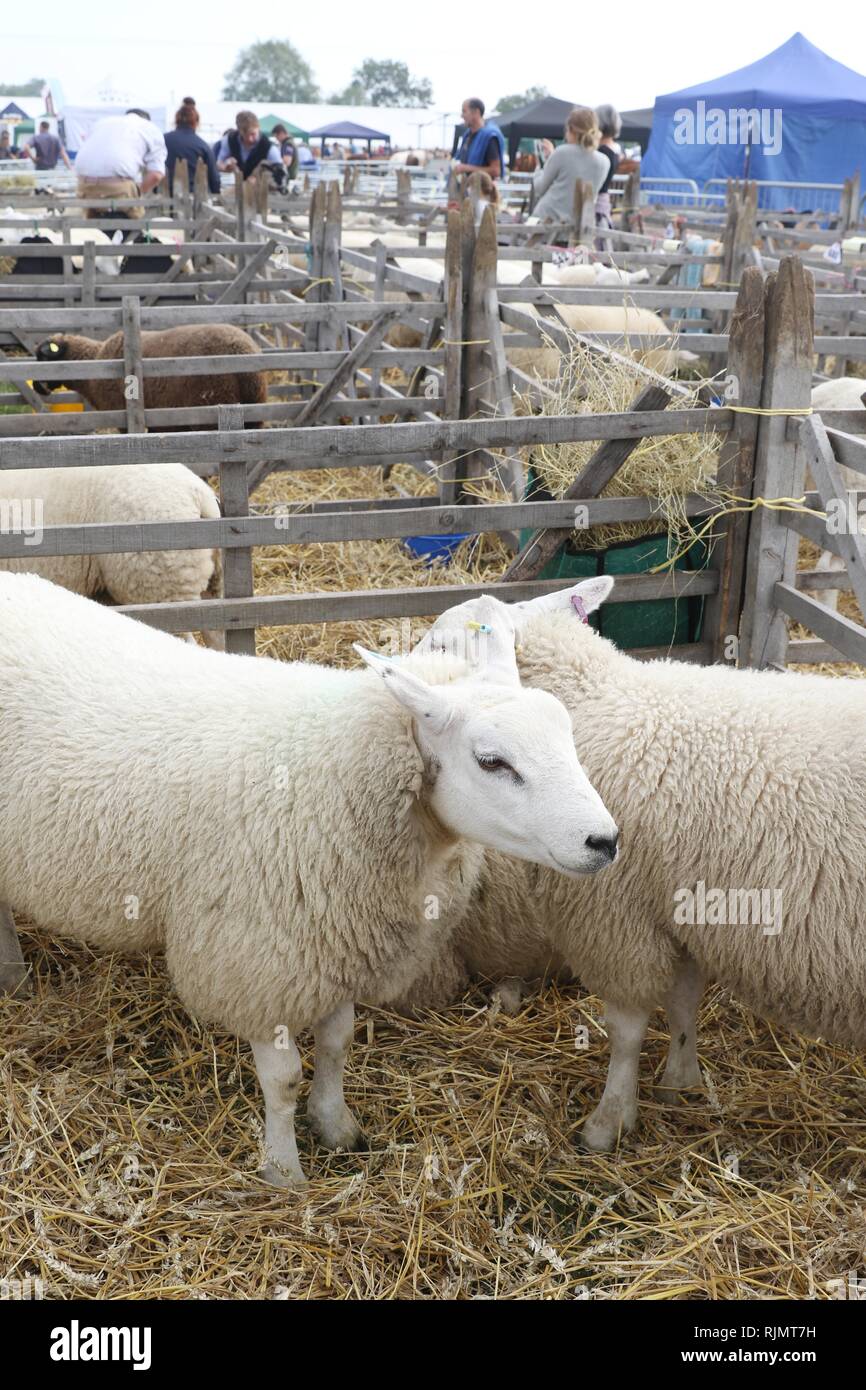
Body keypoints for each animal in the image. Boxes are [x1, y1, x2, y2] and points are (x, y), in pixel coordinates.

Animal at [0, 572, 618, 1185]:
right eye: (492, 761)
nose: (605, 841)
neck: (337, 772)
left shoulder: (340, 944)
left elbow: (338, 1043)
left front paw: (335, 1124)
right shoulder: (262, 962)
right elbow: (283, 1079)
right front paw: (284, 1171)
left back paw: (13, 976)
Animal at [409, 578, 866, 1151]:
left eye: (440, 645)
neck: (594, 698)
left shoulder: (613, 911)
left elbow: (626, 1031)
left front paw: (608, 1123)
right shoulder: (679, 906)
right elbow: (685, 1002)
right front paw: (680, 1083)